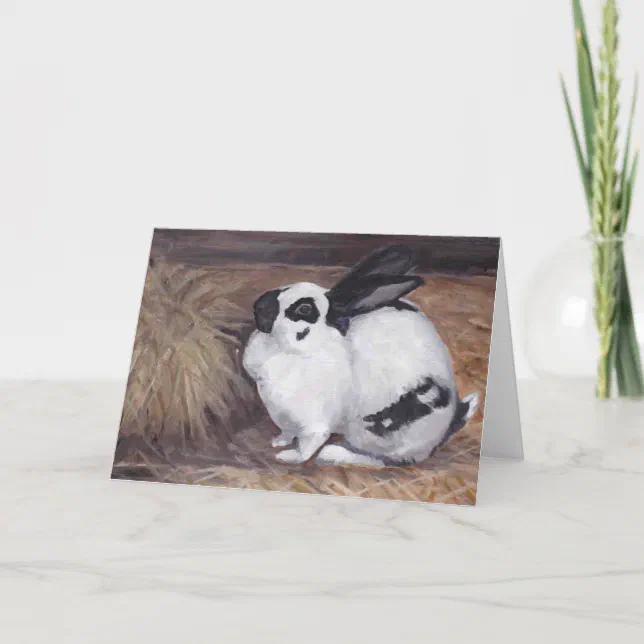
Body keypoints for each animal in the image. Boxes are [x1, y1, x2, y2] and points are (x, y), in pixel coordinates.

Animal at [242, 245, 479, 466]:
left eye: (304, 309)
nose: (258, 306)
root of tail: (441, 433)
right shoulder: (284, 417)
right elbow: (287, 432)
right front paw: (278, 442)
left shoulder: (314, 422)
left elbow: (307, 447)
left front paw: (288, 456)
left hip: (373, 431)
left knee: (387, 460)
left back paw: (333, 454)